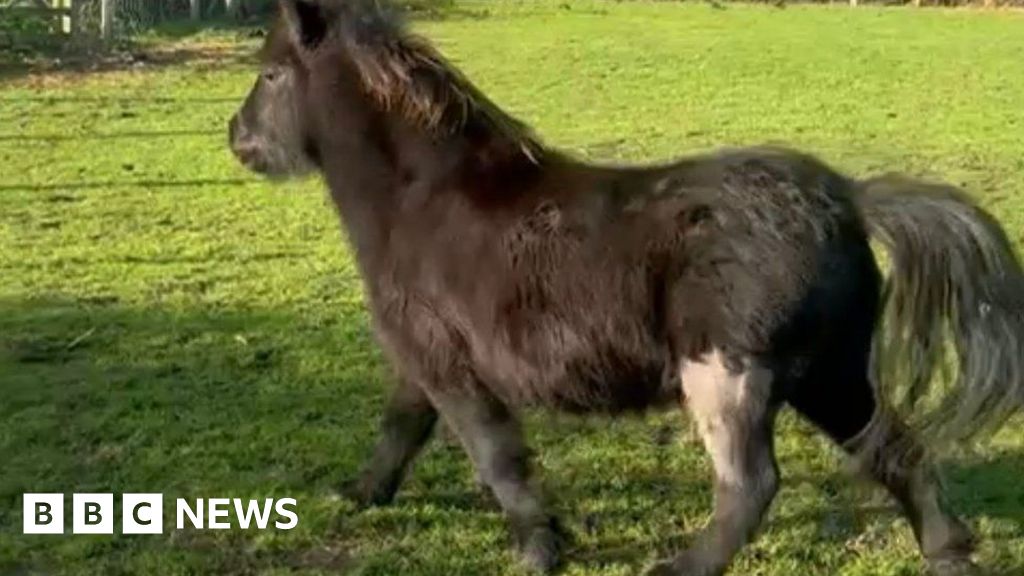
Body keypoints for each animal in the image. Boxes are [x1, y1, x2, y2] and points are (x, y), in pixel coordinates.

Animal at [227, 1, 1024, 574]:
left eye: (270, 74)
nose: (236, 138)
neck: (421, 200)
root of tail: (850, 199)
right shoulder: (422, 360)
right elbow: (400, 430)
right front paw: (361, 496)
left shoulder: (449, 368)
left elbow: (494, 456)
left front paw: (540, 549)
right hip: (828, 376)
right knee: (897, 450)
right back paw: (948, 557)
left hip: (728, 372)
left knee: (751, 486)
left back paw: (678, 568)